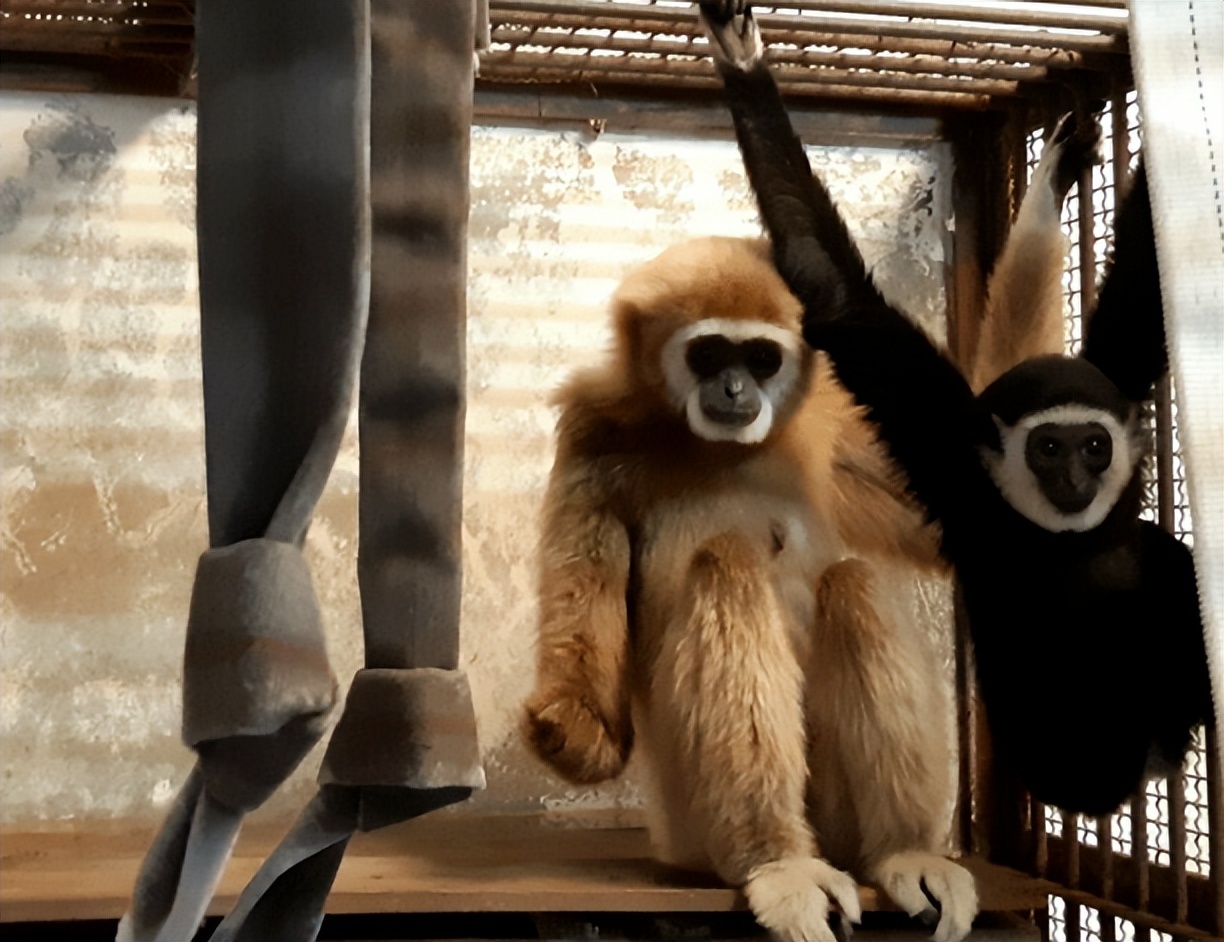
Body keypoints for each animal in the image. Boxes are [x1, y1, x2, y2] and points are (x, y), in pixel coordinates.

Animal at [699, 0, 1213, 820]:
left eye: (1093, 445)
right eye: (1048, 447)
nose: (1075, 475)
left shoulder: (1108, 390)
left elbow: (1147, 287)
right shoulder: (950, 456)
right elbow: (834, 290)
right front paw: (741, 59)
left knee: (1161, 559)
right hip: (1087, 763)